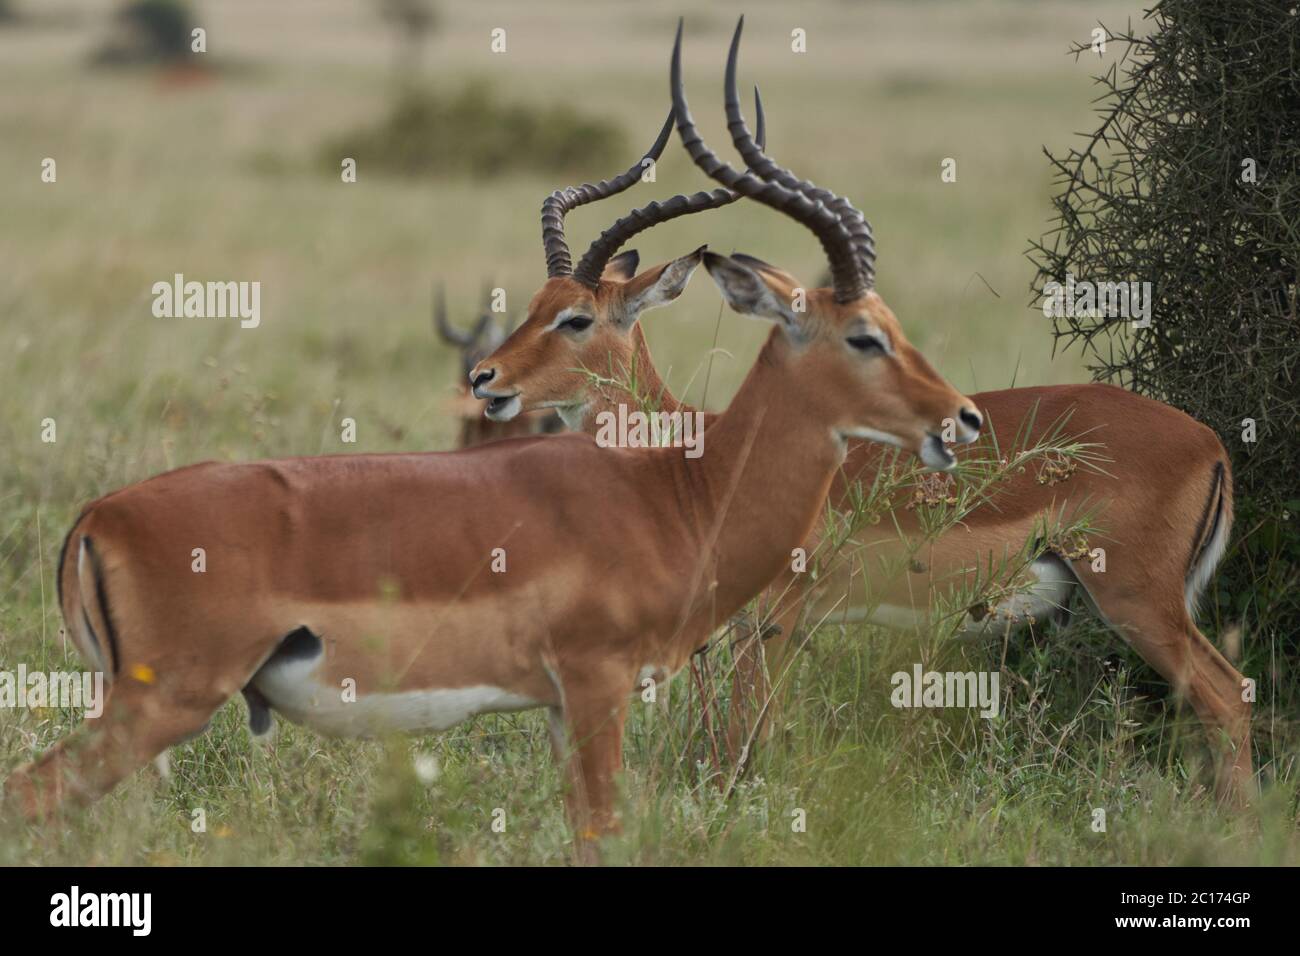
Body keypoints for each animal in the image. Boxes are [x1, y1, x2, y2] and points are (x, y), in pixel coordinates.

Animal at [470, 18, 1253, 806]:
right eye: (532, 304)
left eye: (575, 319)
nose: (483, 377)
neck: (700, 458)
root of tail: (1209, 441)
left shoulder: (772, 623)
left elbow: (741, 747)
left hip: (1137, 598)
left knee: (1227, 695)